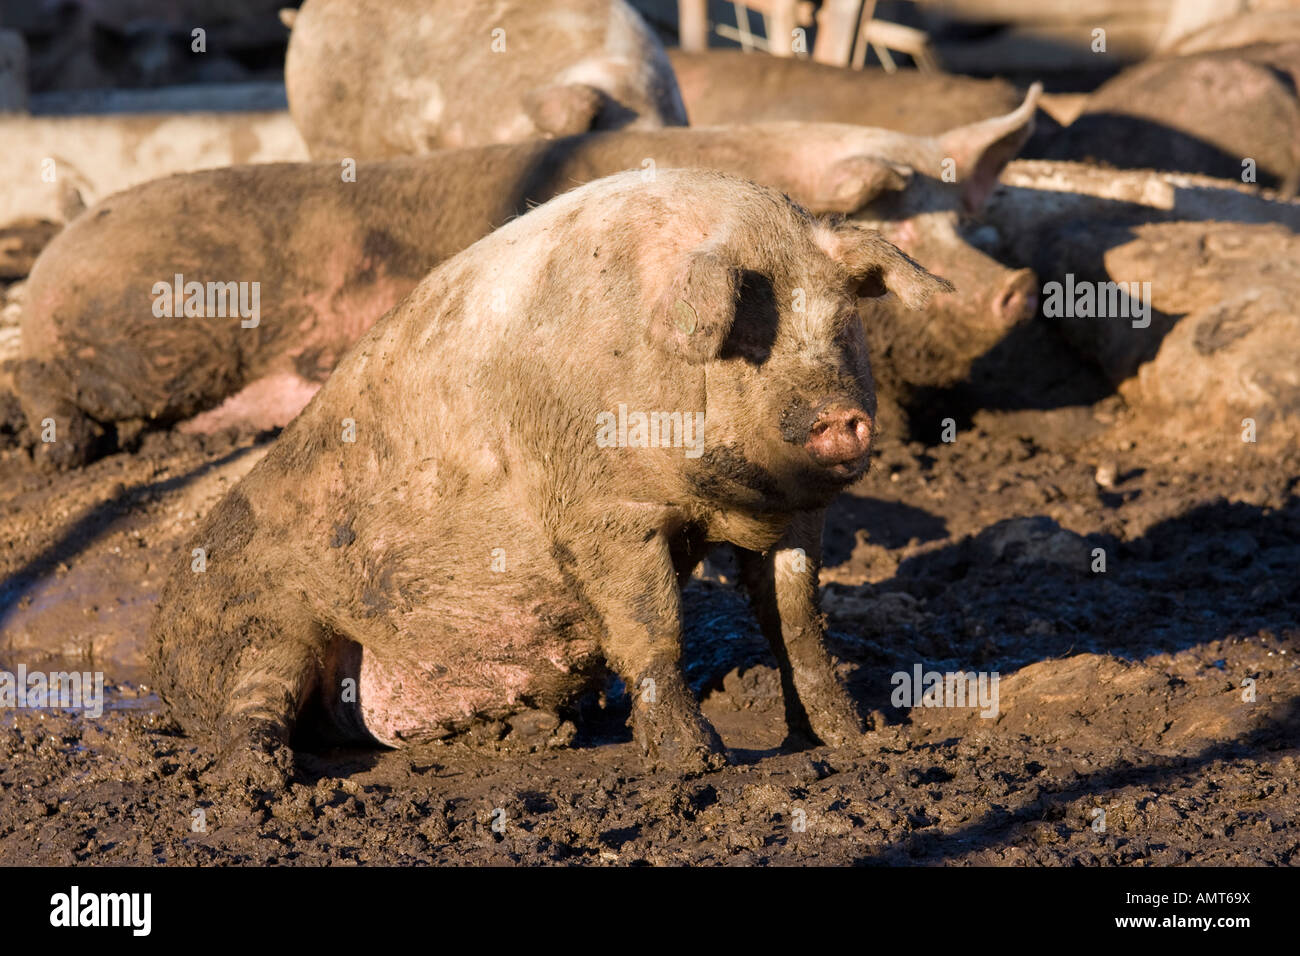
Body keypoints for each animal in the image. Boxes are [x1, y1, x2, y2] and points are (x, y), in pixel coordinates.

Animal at [18, 91, 1040, 467]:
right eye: (898, 216)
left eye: (965, 221)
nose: (1018, 284)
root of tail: (54, 255)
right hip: (147, 334)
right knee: (46, 383)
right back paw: (67, 452)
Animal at [149, 169, 953, 787]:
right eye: (748, 336)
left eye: (843, 325)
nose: (841, 418)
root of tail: (160, 646)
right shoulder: (605, 511)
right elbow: (652, 628)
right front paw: (697, 764)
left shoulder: (796, 519)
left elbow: (800, 626)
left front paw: (857, 738)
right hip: (267, 626)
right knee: (253, 710)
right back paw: (262, 783)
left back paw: (532, 734)